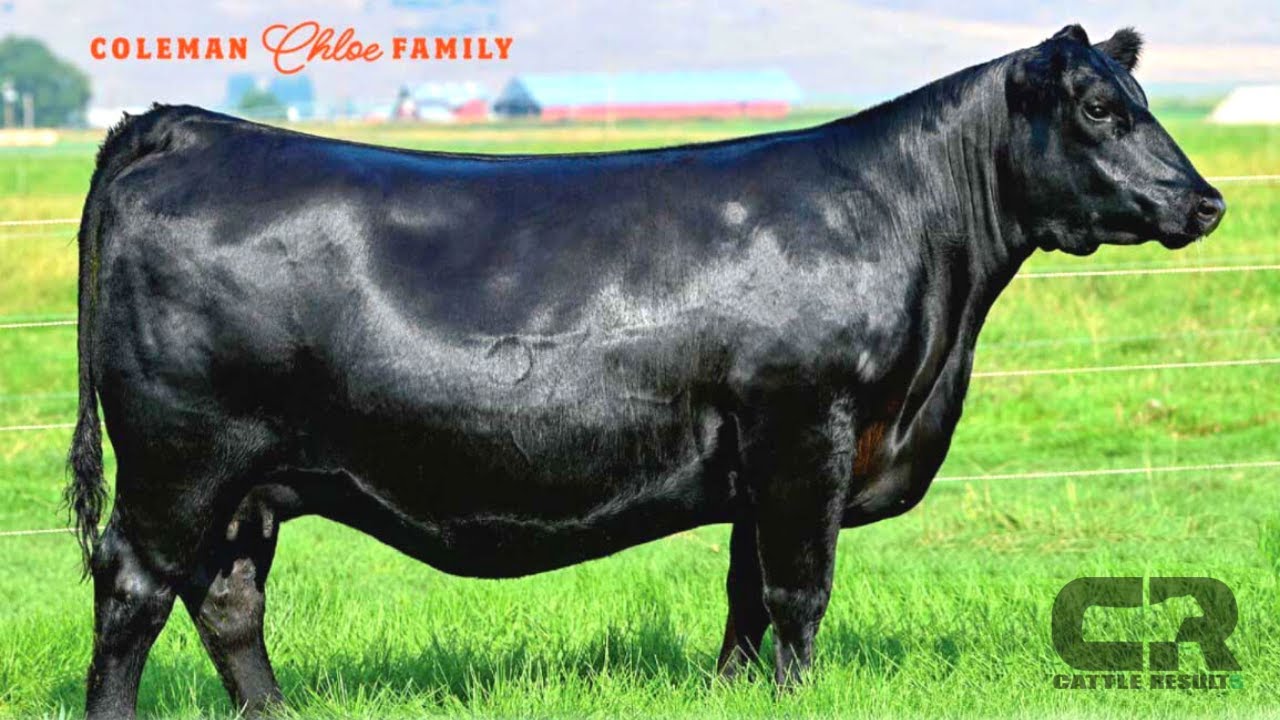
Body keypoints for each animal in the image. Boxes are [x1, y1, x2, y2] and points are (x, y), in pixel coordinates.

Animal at [67, 25, 1224, 718]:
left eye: (1142, 97)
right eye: (1099, 110)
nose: (1205, 201)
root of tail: (181, 127)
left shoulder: (760, 464)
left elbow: (745, 595)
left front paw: (735, 695)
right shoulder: (803, 426)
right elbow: (799, 591)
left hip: (249, 481)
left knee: (227, 599)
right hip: (179, 459)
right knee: (135, 589)